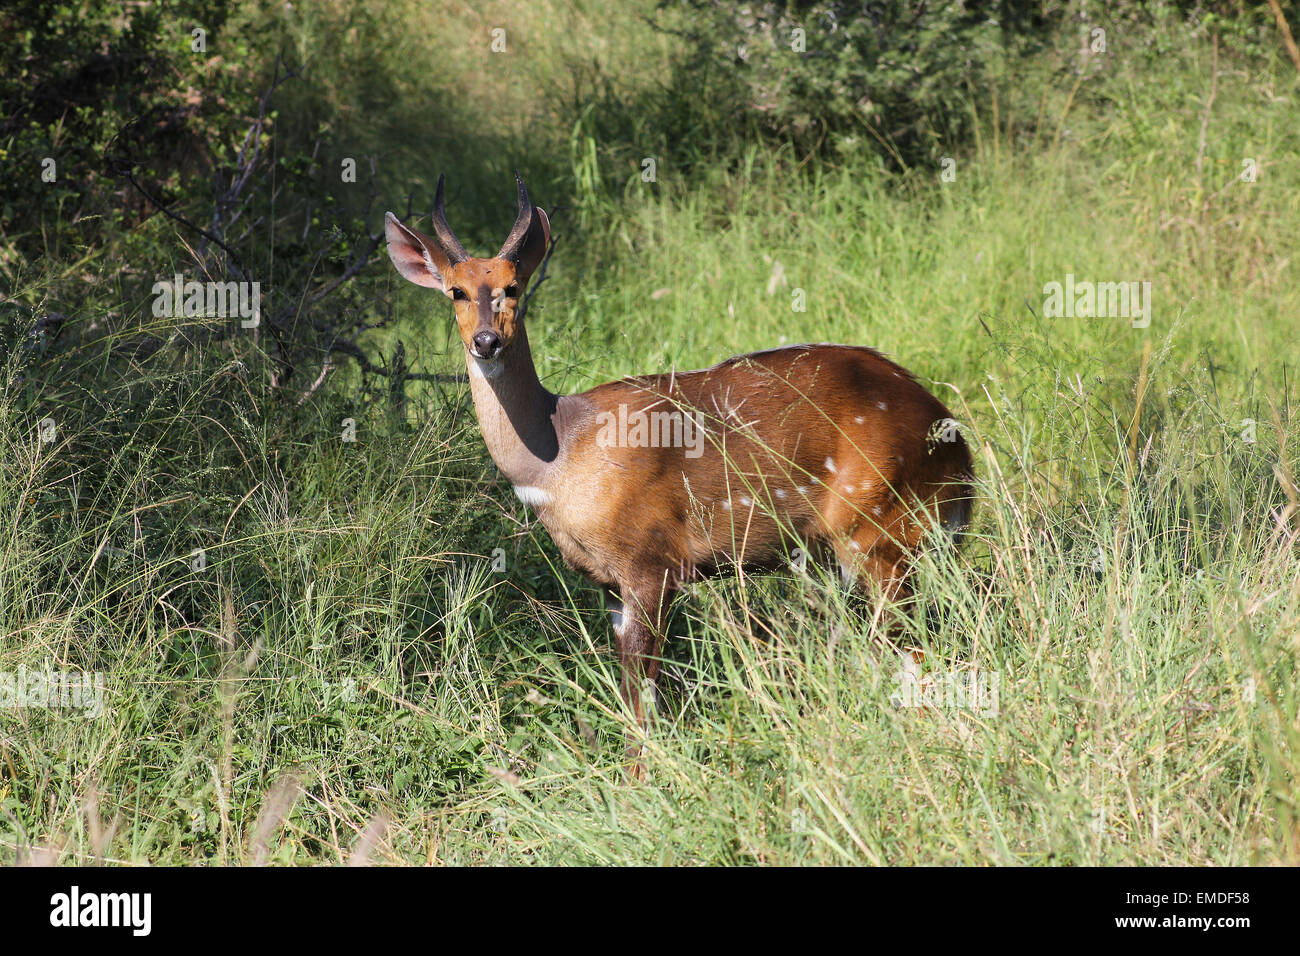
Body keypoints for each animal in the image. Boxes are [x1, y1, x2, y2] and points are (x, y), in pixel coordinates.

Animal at [385, 174, 974, 745]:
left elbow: (644, 703)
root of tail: (958, 447)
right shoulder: (612, 587)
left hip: (881, 532)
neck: (560, 455)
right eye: (456, 291)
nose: (487, 340)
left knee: (914, 654)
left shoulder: (653, 562)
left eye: (513, 287)